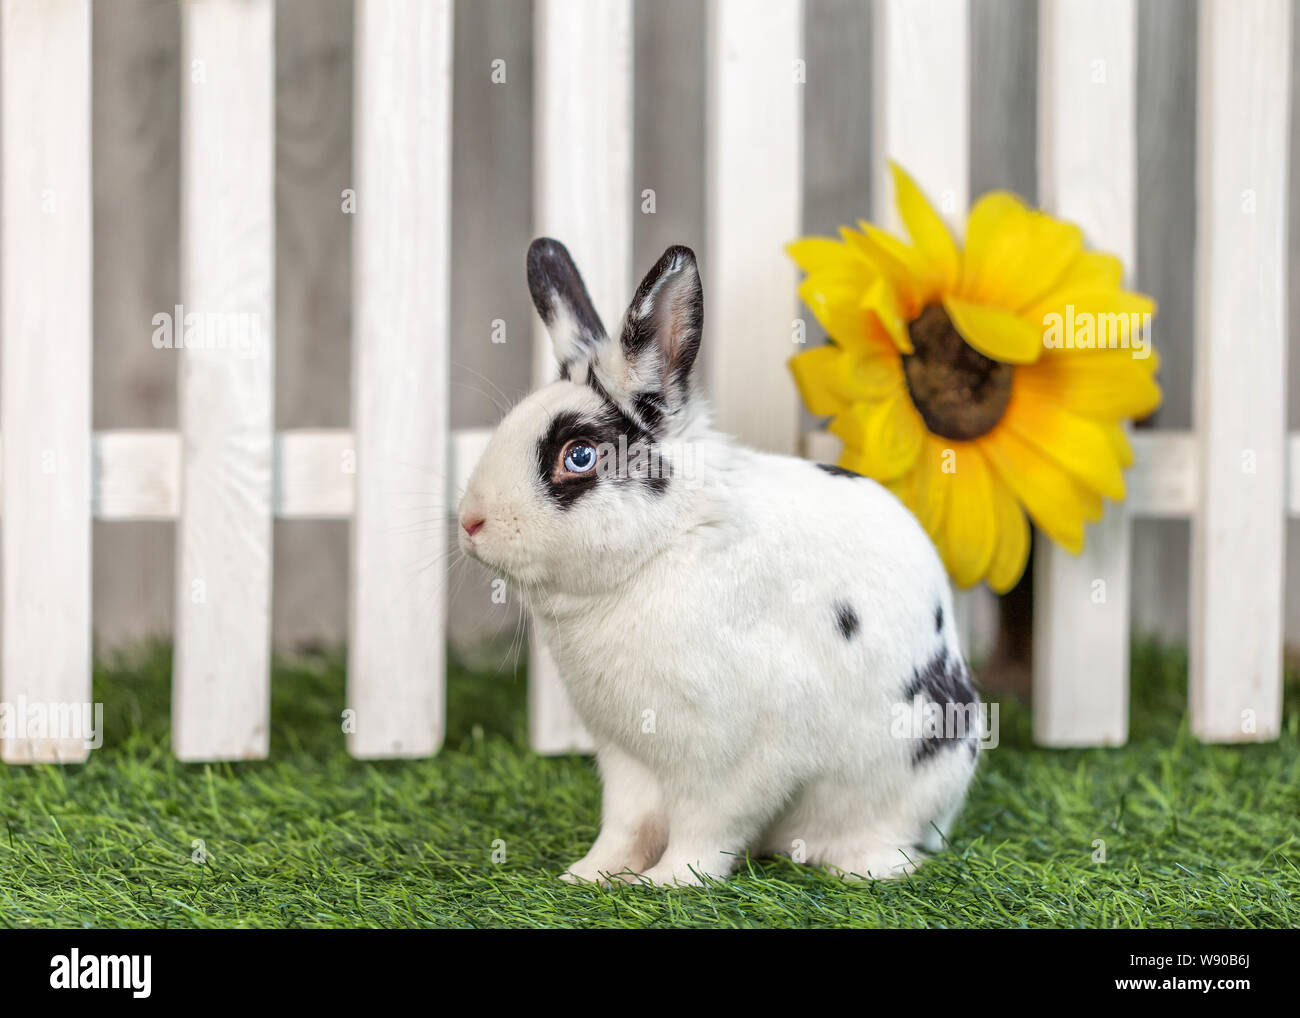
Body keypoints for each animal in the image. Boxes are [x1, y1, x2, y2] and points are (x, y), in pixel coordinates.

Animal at [457, 237, 982, 887]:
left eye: (578, 456)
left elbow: (705, 831)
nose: (469, 522)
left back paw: (860, 865)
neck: (662, 547)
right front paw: (591, 875)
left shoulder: (731, 760)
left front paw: (666, 883)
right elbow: (625, 825)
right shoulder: (626, 756)